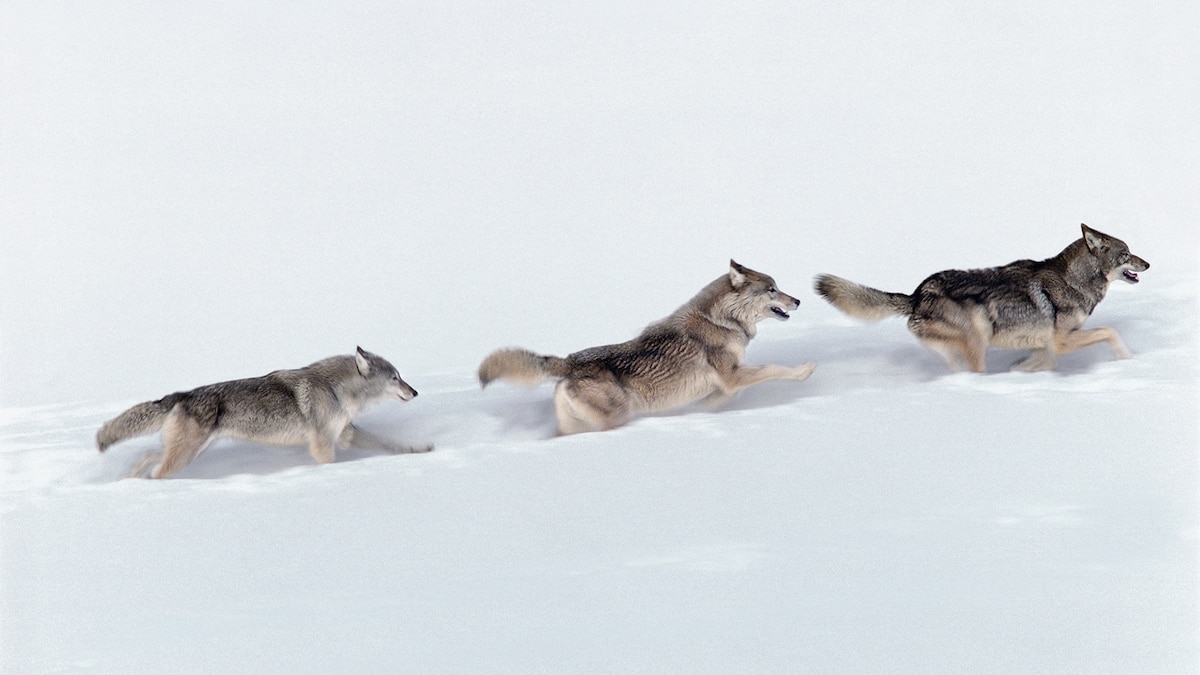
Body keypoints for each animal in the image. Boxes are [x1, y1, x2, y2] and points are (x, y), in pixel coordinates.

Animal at [96, 347, 431, 478]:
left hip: (191, 453)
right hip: (184, 456)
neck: (337, 390)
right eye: (395, 378)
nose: (415, 392)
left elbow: (390, 444)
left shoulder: (345, 434)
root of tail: (179, 395)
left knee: (147, 457)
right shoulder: (323, 444)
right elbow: (331, 463)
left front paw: (420, 450)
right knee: (156, 471)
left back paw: (131, 480)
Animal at [478, 260, 816, 435]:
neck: (723, 321)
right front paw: (805, 371)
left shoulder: (728, 383)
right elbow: (773, 369)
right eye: (772, 289)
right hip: (618, 416)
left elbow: (721, 398)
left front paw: (702, 411)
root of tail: (569, 361)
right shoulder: (732, 376)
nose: (798, 300)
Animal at [814, 224, 1149, 373]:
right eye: (1127, 254)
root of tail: (915, 295)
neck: (1075, 281)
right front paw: (1127, 359)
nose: (1147, 264)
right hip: (978, 337)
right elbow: (1110, 331)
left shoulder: (1048, 344)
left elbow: (1040, 361)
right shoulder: (1062, 340)